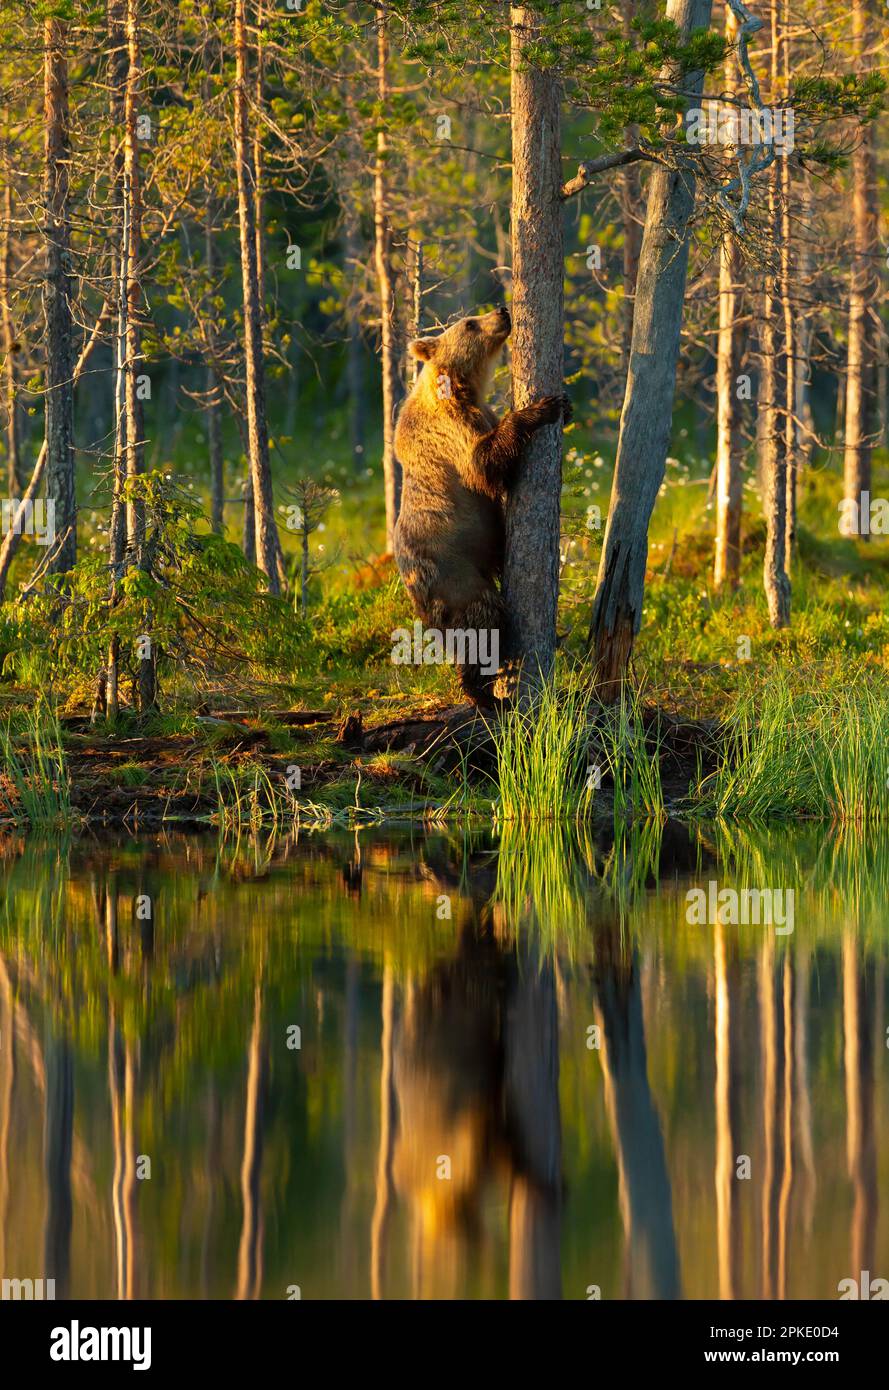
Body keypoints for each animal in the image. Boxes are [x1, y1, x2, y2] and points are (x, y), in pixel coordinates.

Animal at [393, 305, 571, 707]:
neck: (463, 388)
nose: (502, 311)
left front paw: (567, 406)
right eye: (470, 323)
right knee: (483, 622)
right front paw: (543, 408)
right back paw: (486, 691)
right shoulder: (451, 430)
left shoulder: (479, 412)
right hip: (453, 574)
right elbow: (484, 464)